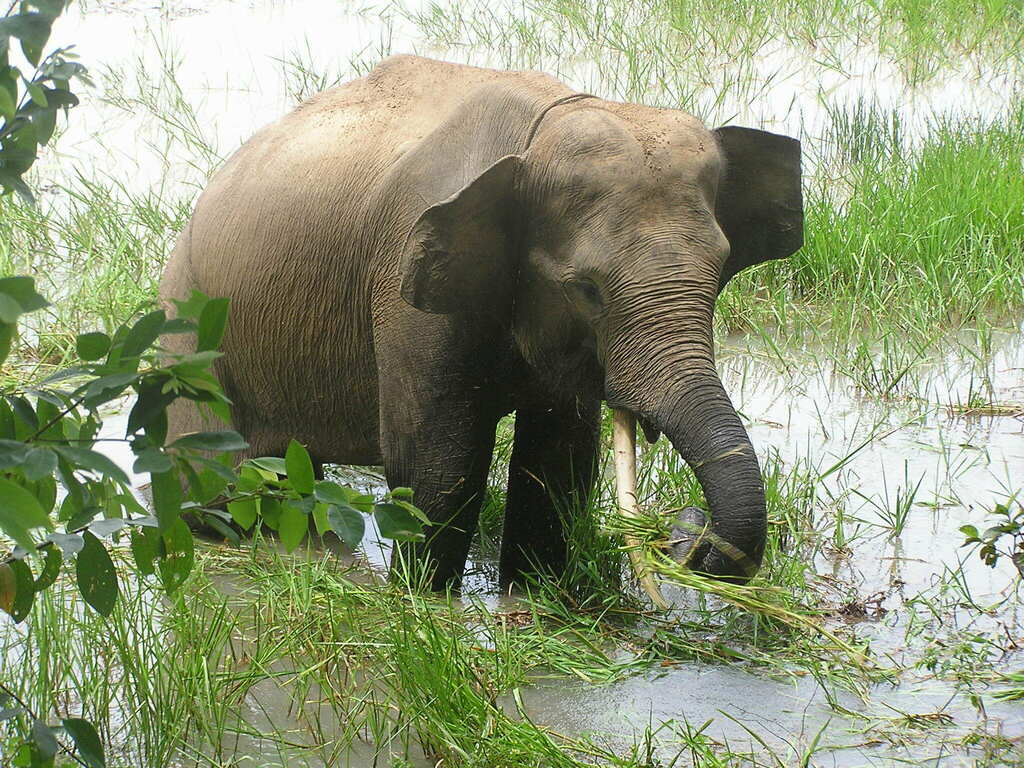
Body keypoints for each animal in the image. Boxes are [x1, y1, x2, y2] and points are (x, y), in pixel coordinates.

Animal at [159, 54, 803, 592]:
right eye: (586, 290)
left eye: (720, 273)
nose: (689, 537)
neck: (545, 126)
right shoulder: (407, 286)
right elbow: (439, 462)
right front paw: (423, 601)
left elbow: (558, 458)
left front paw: (536, 598)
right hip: (190, 332)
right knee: (214, 478)